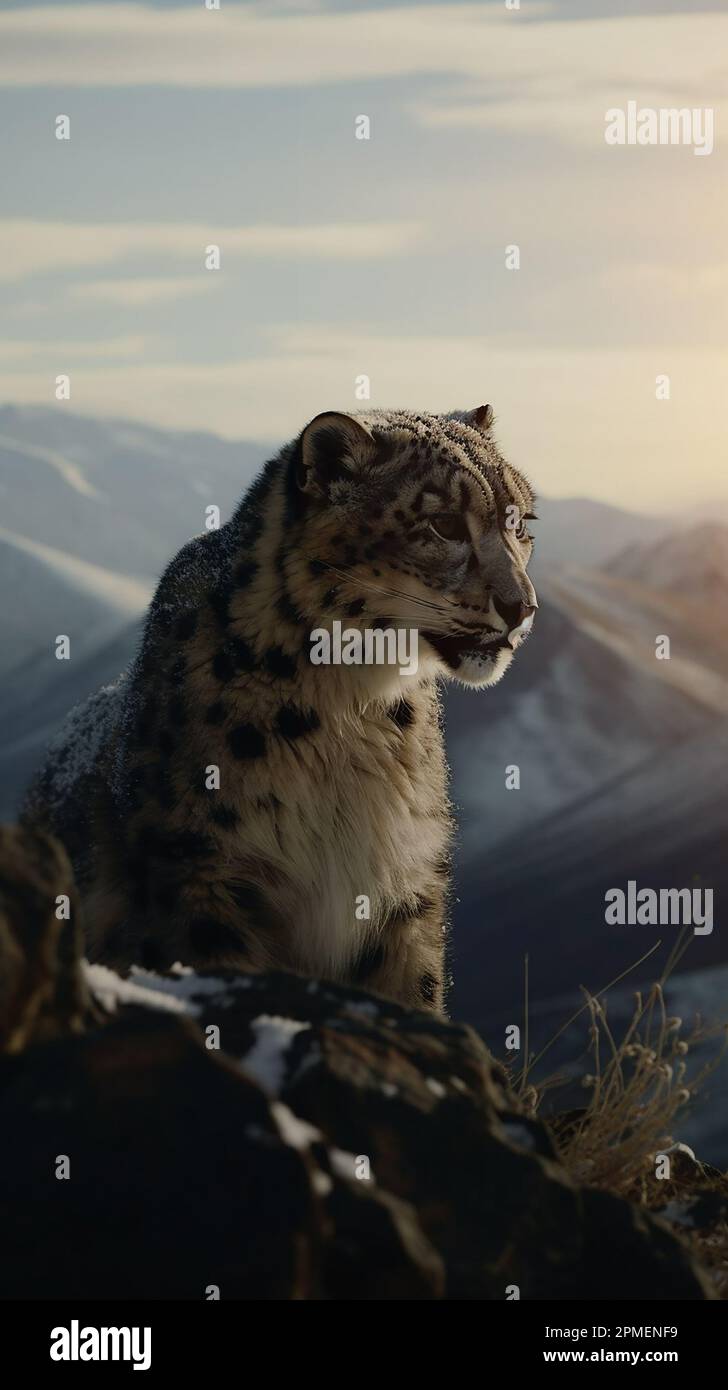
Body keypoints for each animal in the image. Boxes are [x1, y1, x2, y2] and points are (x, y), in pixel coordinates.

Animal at [23, 405, 537, 1015]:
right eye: (444, 525)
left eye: (522, 523)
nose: (523, 607)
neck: (350, 712)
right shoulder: (204, 872)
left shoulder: (405, 887)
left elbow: (414, 991)